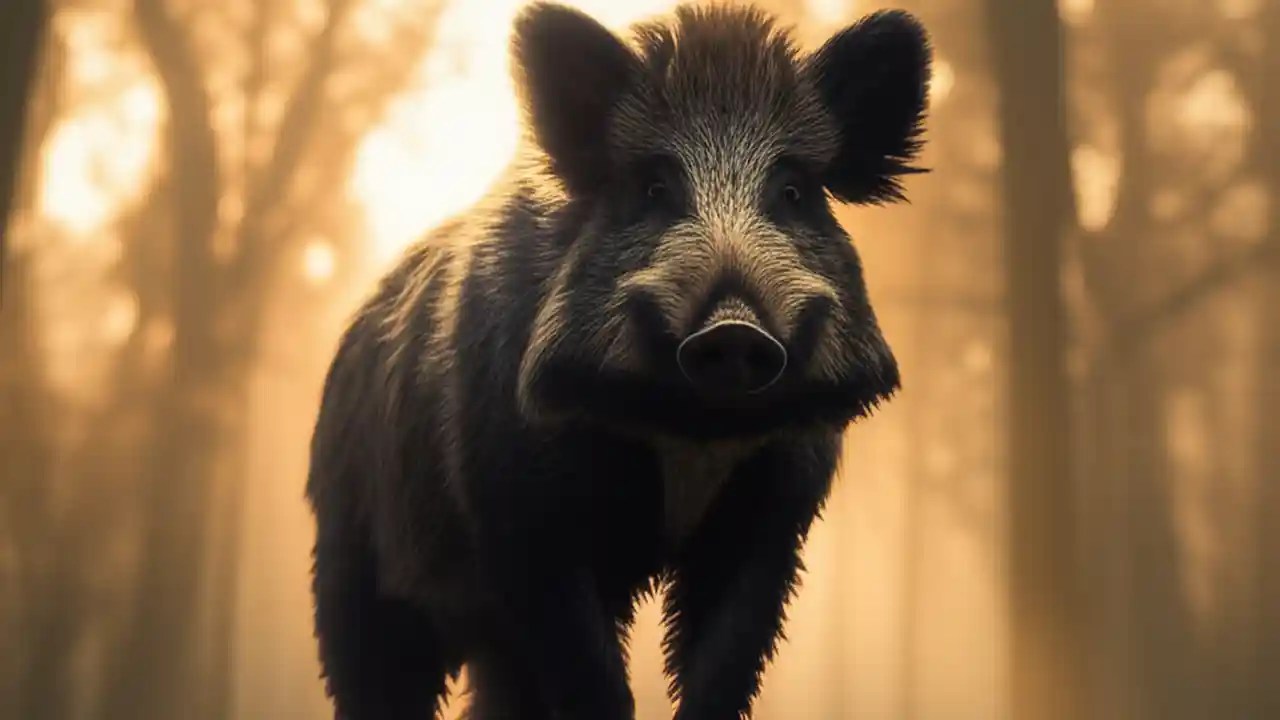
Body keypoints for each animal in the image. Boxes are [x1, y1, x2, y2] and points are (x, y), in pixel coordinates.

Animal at [306, 2, 930, 718]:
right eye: (655, 187)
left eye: (794, 191)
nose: (734, 329)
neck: (691, 438)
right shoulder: (516, 498)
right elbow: (584, 666)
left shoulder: (777, 505)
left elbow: (726, 656)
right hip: (350, 546)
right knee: (378, 668)